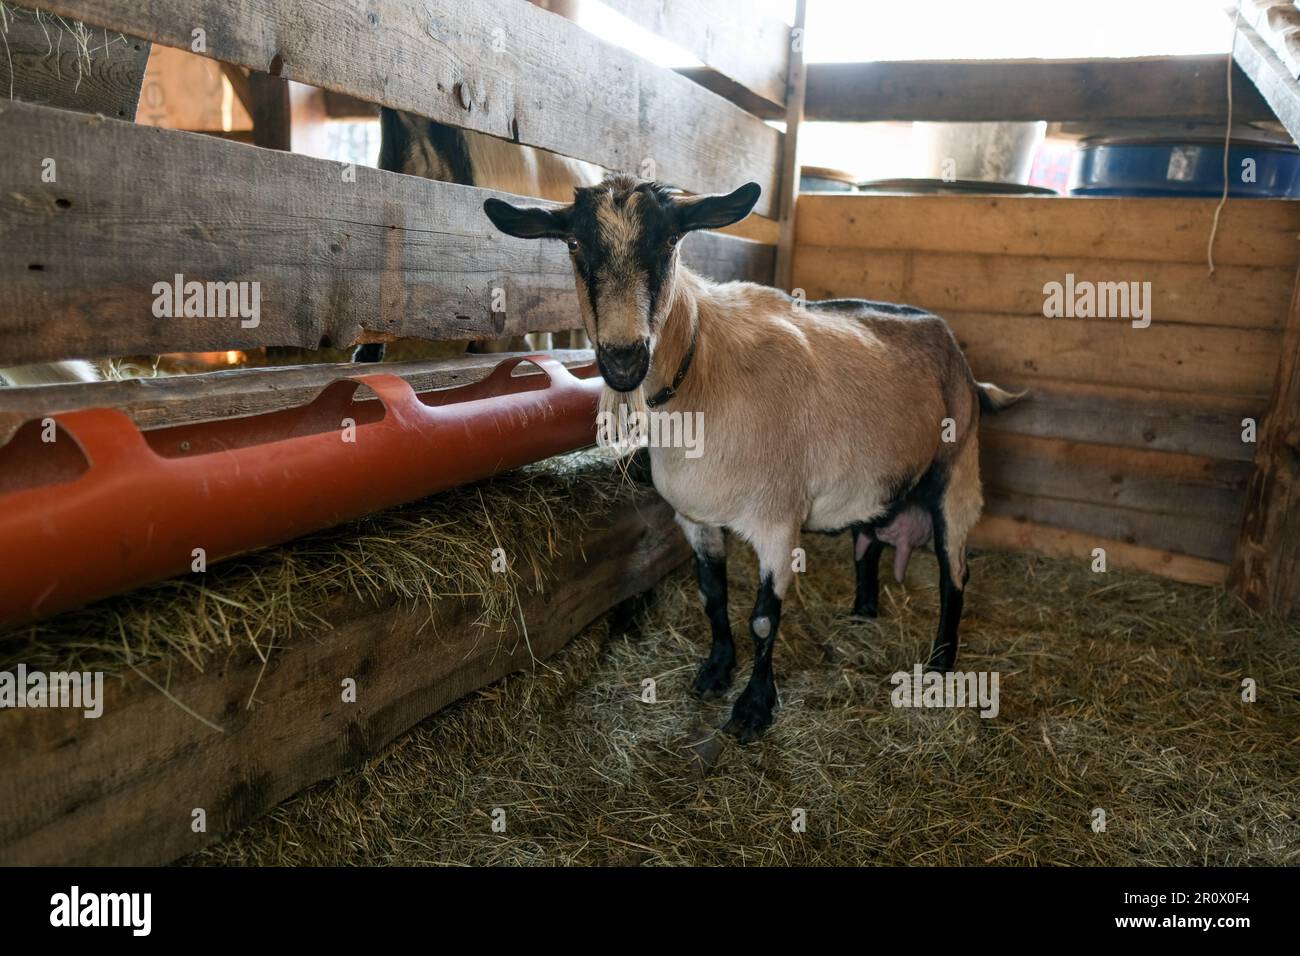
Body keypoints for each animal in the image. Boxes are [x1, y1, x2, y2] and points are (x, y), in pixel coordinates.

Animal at [484, 175, 1023, 742]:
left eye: (669, 242)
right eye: (574, 244)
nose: (624, 359)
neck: (703, 372)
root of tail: (961, 360)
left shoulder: (778, 524)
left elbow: (764, 618)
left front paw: (752, 709)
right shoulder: (694, 518)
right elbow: (713, 597)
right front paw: (716, 670)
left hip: (959, 469)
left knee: (954, 572)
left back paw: (940, 664)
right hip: (878, 477)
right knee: (867, 541)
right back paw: (862, 612)